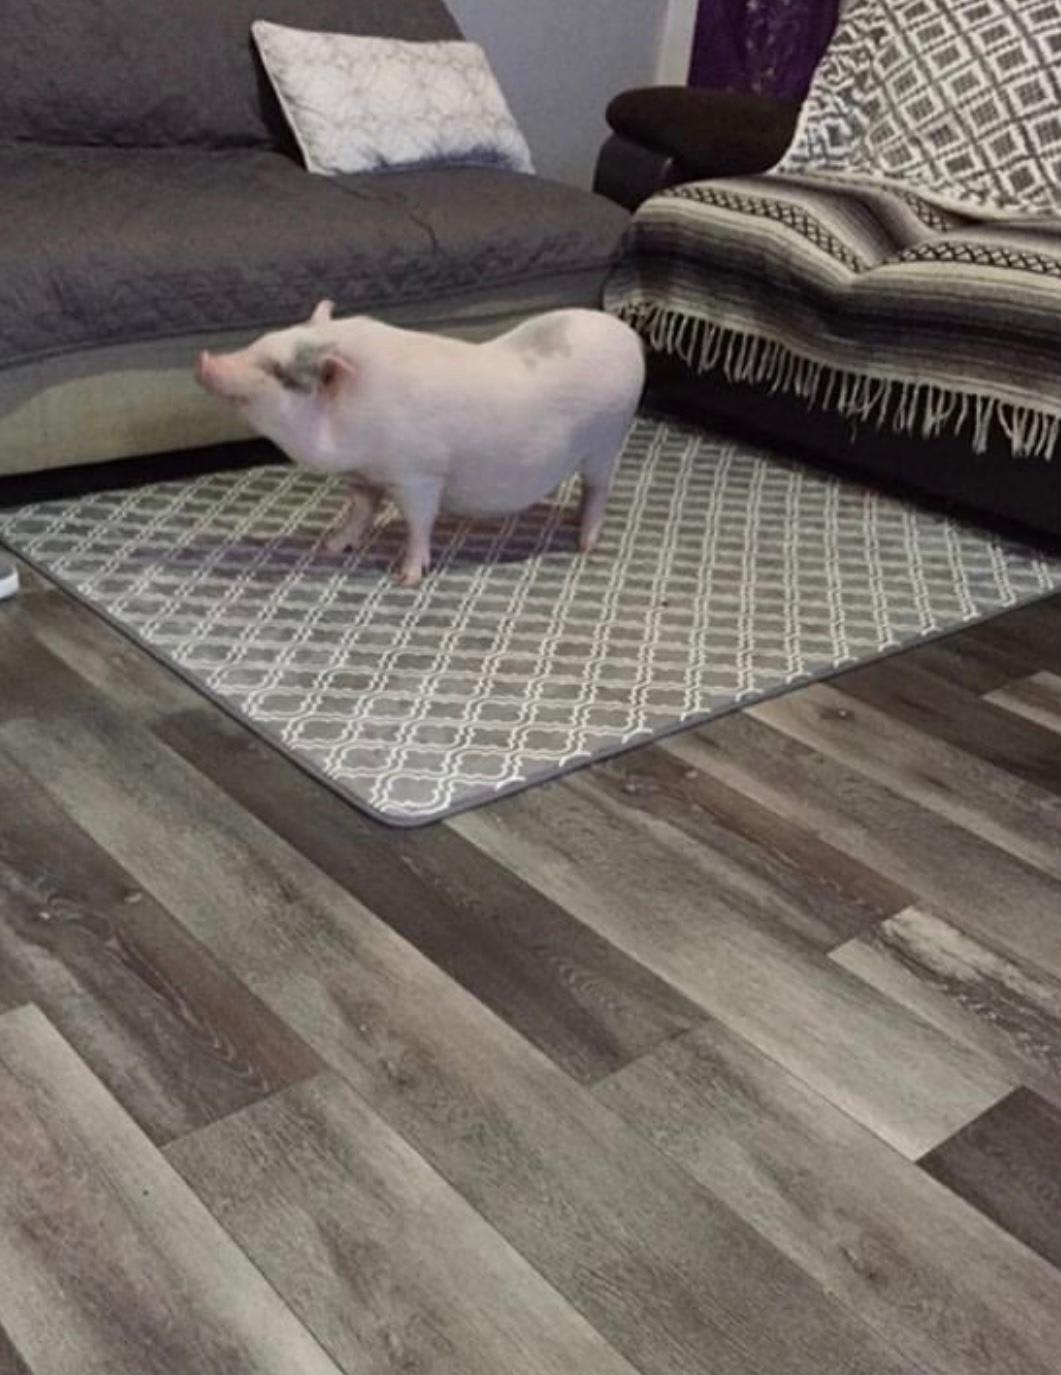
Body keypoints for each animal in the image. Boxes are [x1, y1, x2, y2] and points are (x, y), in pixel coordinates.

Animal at [195, 303, 645, 587]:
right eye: (261, 340)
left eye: (277, 371)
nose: (204, 358)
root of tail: (628, 336)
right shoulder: (363, 478)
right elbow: (359, 513)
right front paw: (330, 547)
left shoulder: (419, 475)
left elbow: (418, 523)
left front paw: (406, 579)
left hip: (607, 438)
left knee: (598, 489)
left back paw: (584, 546)